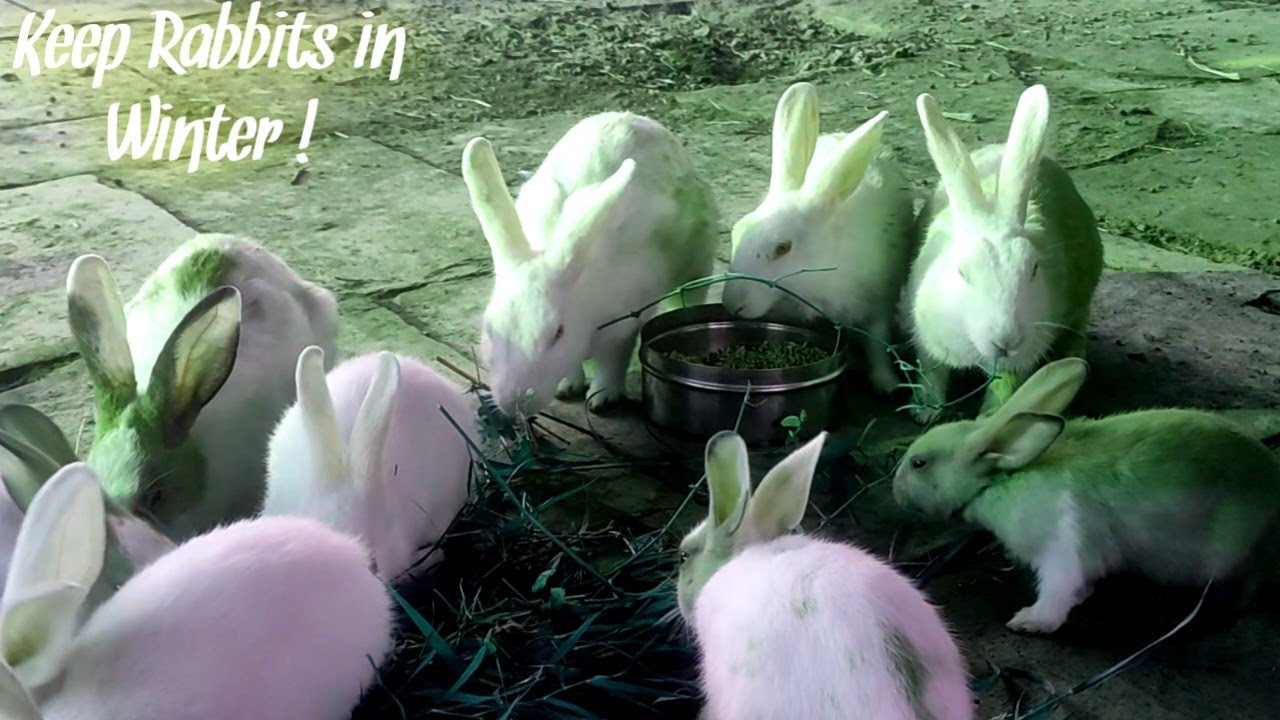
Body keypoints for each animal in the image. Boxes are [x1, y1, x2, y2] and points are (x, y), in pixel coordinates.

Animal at [462, 112, 720, 416]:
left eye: (558, 333)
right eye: (490, 328)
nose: (514, 404)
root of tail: (632, 117)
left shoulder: (624, 325)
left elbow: (613, 361)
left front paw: (601, 397)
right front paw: (568, 387)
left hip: (696, 261)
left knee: (689, 296)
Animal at [722, 82, 918, 395]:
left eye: (782, 248)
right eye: (736, 230)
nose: (732, 303)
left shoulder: (878, 303)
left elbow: (877, 342)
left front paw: (887, 384)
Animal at [893, 357, 1280, 634]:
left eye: (919, 463)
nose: (896, 488)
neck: (1003, 479)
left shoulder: (1063, 551)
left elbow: (1057, 595)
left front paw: (1028, 622)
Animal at [903, 84, 1103, 422]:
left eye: (1033, 268)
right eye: (961, 272)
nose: (1006, 340)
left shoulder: (1021, 357)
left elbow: (1004, 388)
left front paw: (989, 419)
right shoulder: (928, 340)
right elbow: (932, 371)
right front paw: (925, 412)